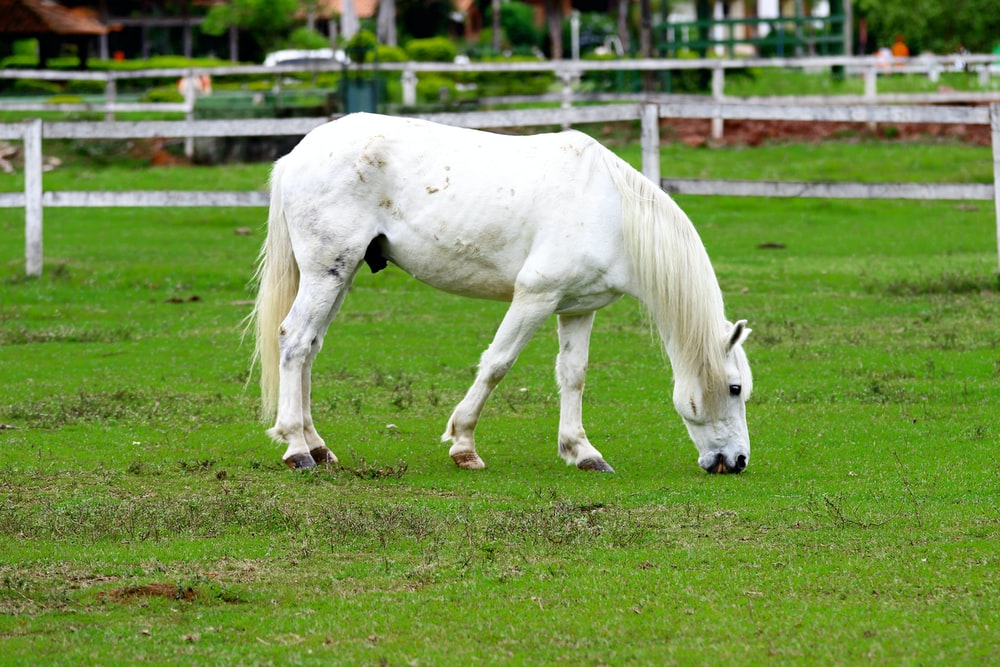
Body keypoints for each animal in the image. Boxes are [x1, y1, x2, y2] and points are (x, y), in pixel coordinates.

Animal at [250, 113, 753, 474]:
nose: (738, 462)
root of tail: (298, 153)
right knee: (295, 341)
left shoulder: (578, 308)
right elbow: (497, 364)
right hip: (326, 272)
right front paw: (464, 444)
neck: (613, 211)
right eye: (734, 388)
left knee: (310, 347)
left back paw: (317, 446)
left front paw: (581, 451)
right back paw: (296, 448)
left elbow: (573, 374)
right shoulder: (535, 297)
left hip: (340, 275)